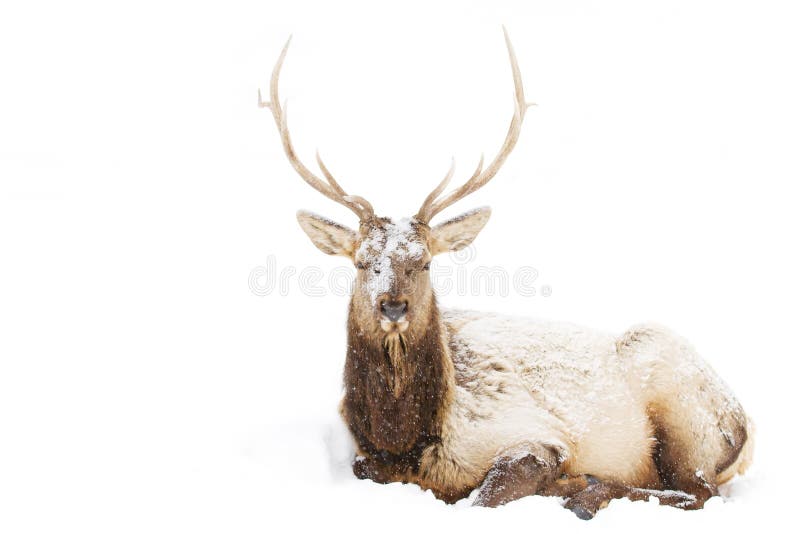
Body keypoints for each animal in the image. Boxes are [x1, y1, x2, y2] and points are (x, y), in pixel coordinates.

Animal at [258, 29, 753, 519]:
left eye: (425, 261)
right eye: (362, 262)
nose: (393, 305)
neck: (406, 437)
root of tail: (745, 426)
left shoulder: (535, 434)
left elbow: (485, 495)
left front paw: (566, 483)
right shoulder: (368, 456)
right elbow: (365, 469)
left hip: (682, 407)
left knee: (697, 492)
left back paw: (585, 493)